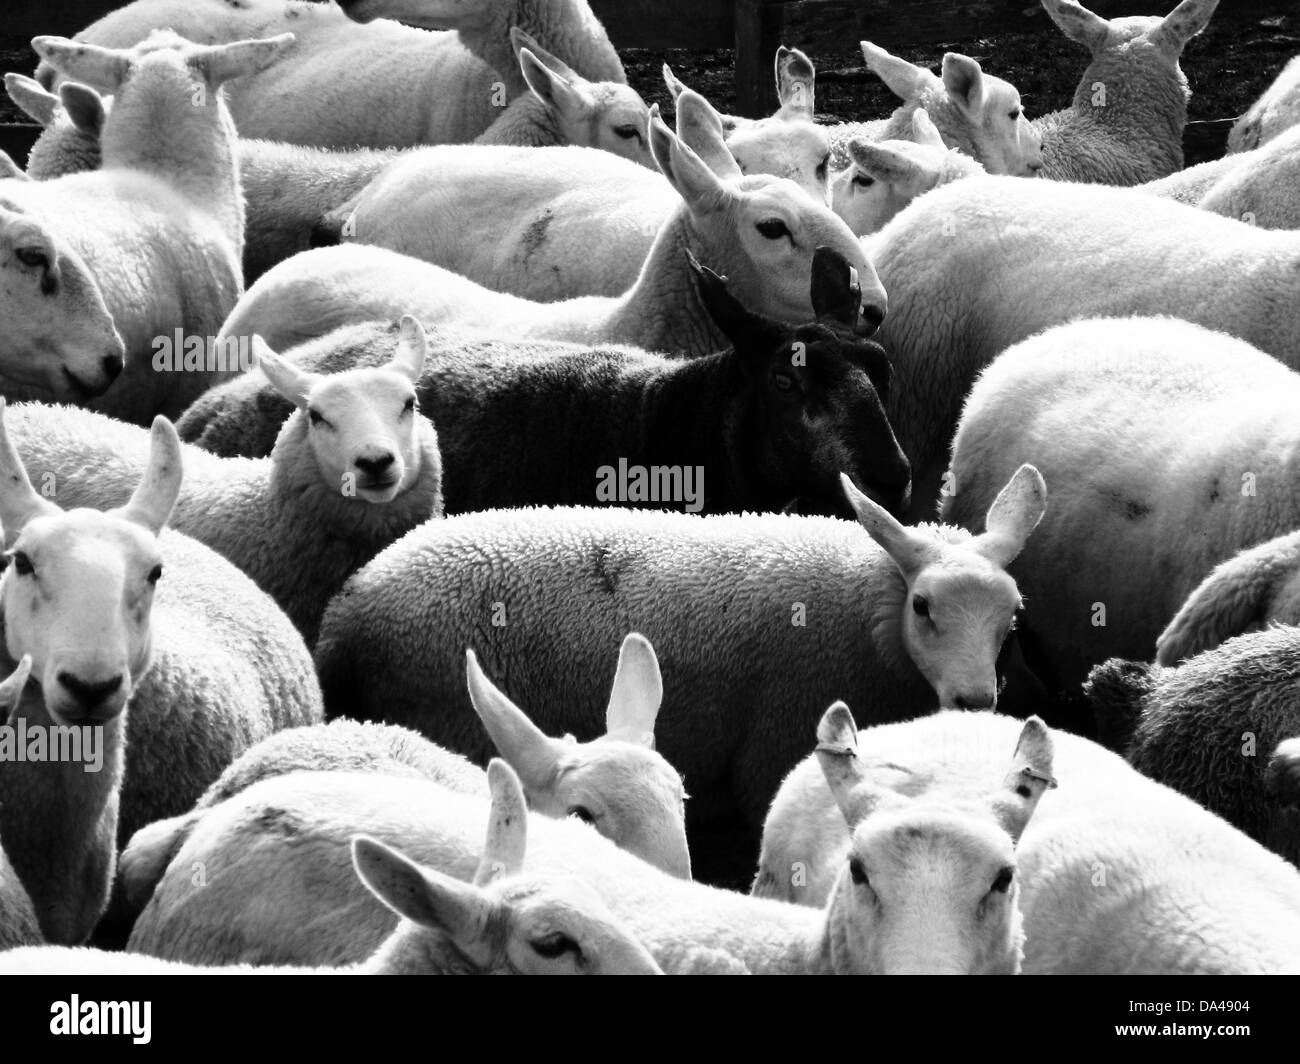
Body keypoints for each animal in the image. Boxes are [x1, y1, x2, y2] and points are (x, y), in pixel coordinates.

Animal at [311, 464, 1044, 858]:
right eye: (923, 606)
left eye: (1012, 616)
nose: (976, 700)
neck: (869, 607)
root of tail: (348, 608)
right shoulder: (770, 747)